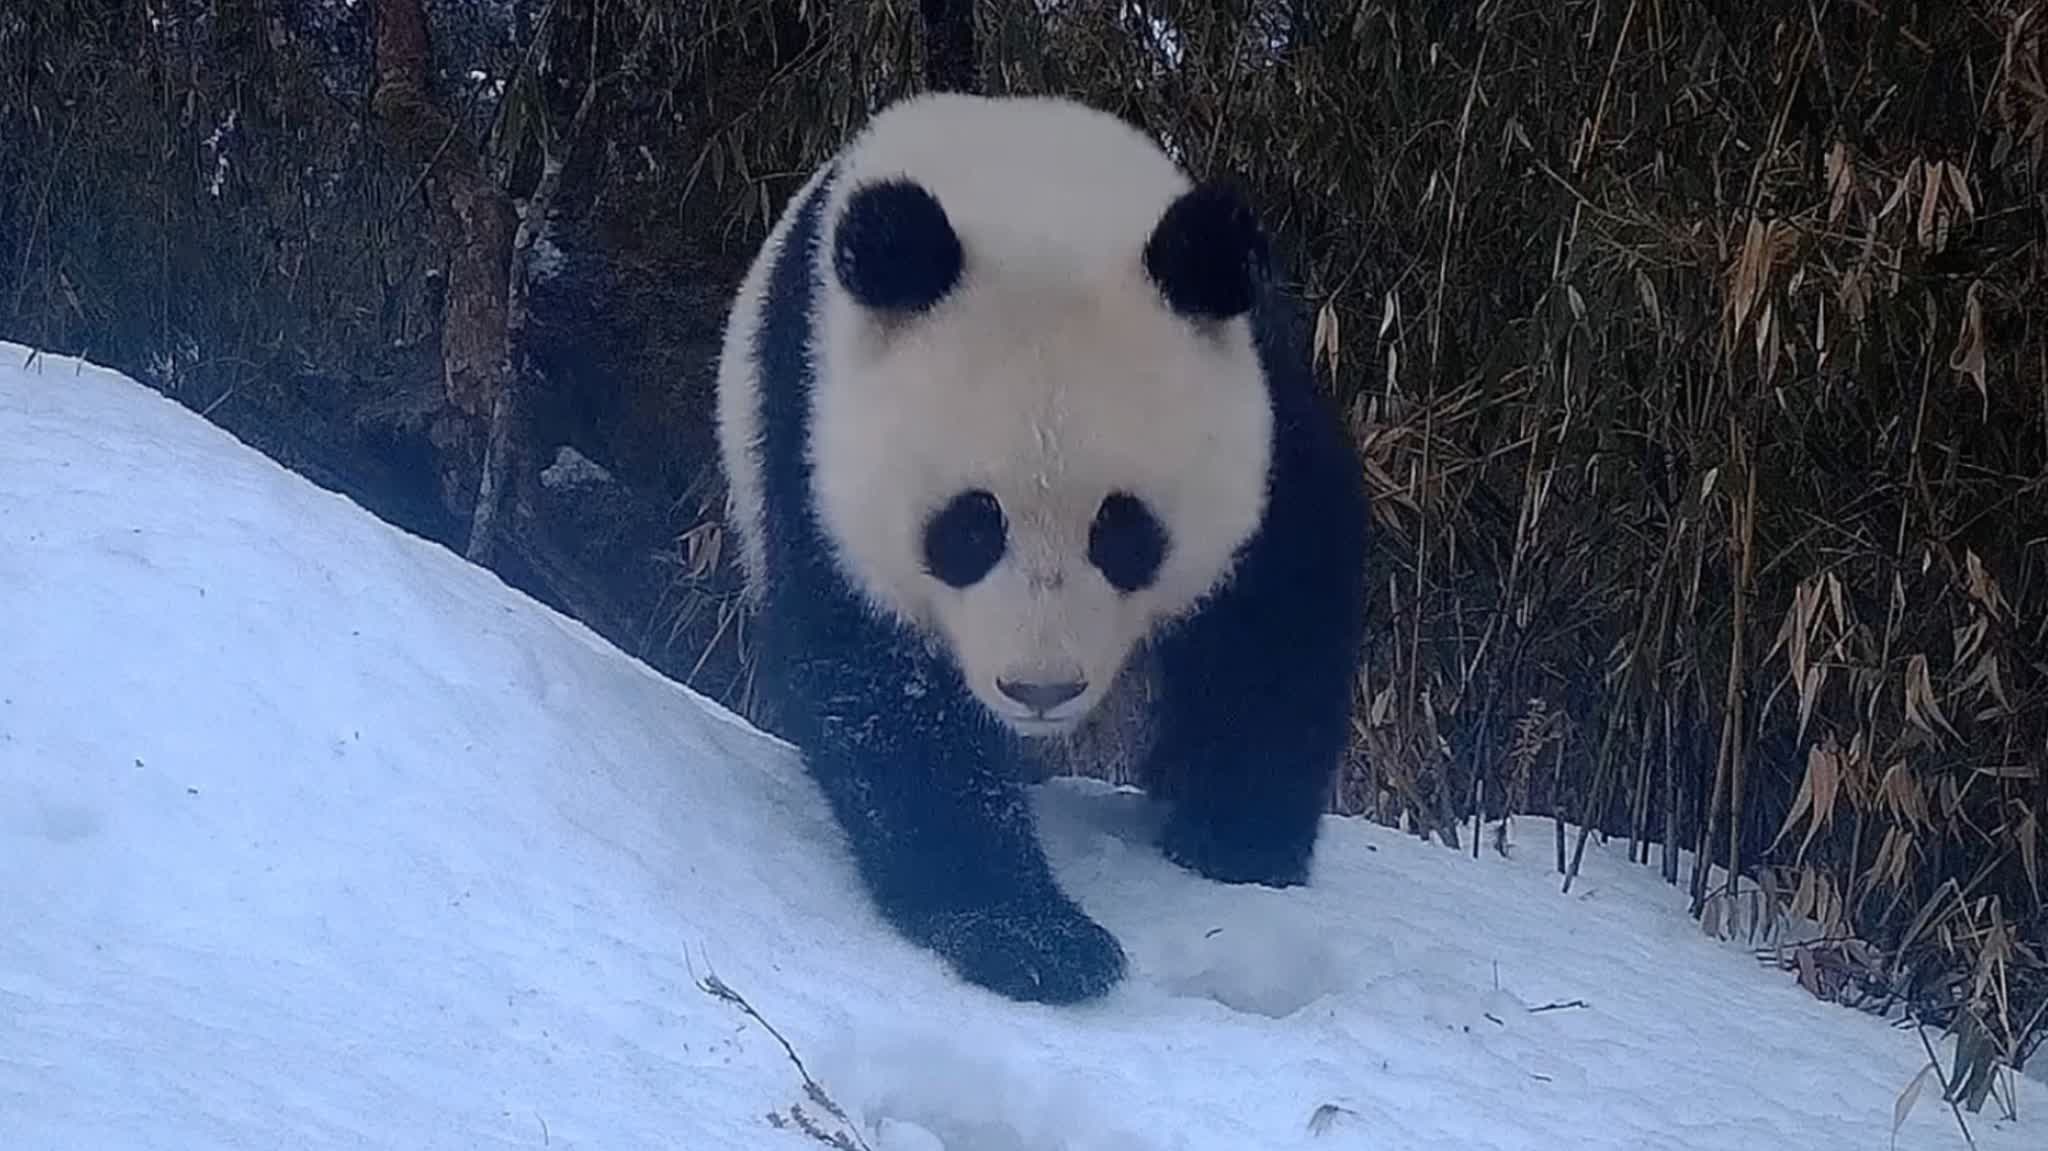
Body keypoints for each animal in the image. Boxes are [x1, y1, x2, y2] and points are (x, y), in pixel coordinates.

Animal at [714, 92, 1367, 1005]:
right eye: (968, 528)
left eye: (1126, 532)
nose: (1040, 689)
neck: (1035, 191)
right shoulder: (813, 429)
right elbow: (876, 682)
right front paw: (1033, 938)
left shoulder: (1264, 405)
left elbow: (1279, 605)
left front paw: (1235, 839)